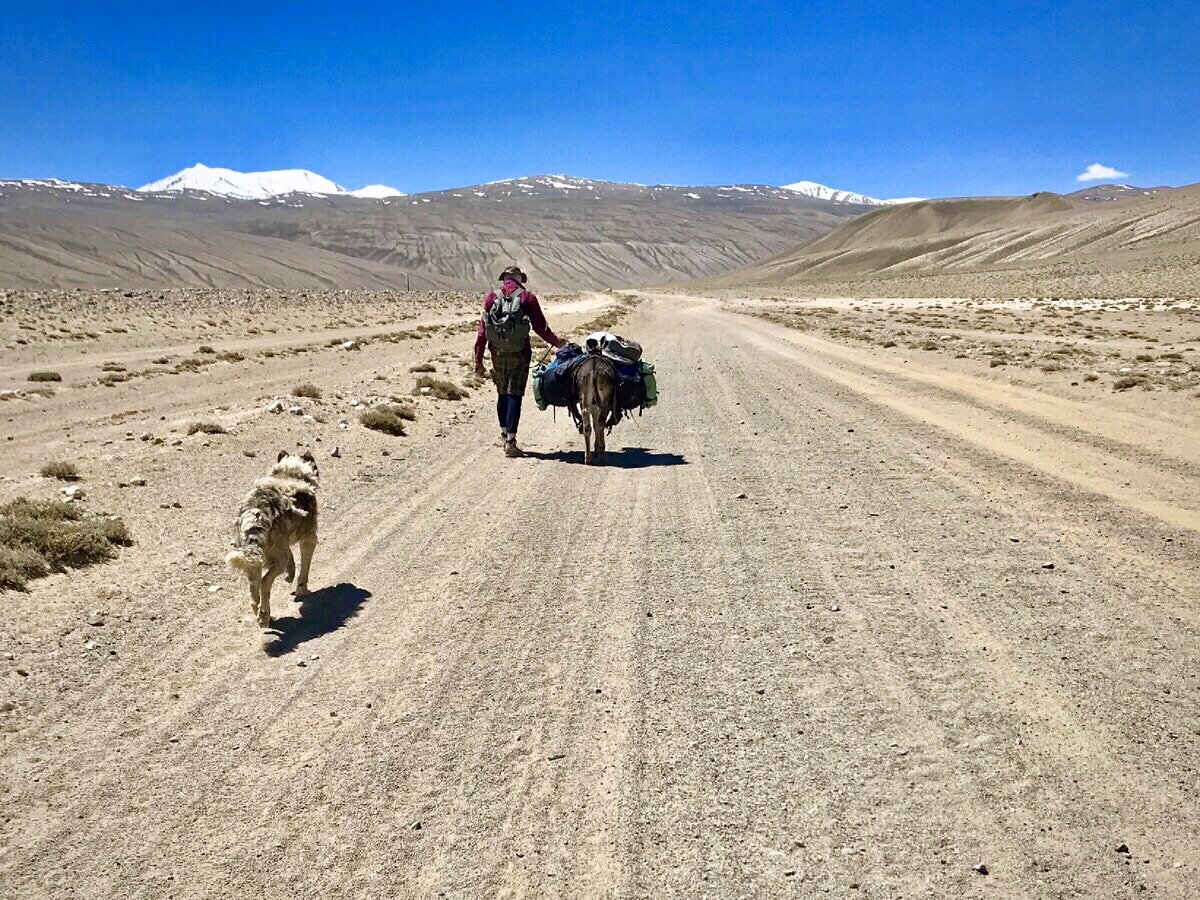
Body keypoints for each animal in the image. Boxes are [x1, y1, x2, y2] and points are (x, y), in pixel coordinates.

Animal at [225, 448, 319, 628]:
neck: (290, 473)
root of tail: (256, 515)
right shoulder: (309, 539)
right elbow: (305, 569)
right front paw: (302, 590)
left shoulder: (283, 542)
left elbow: (291, 557)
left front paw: (291, 574)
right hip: (274, 562)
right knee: (264, 583)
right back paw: (265, 614)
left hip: (253, 560)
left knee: (253, 592)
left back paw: (264, 616)